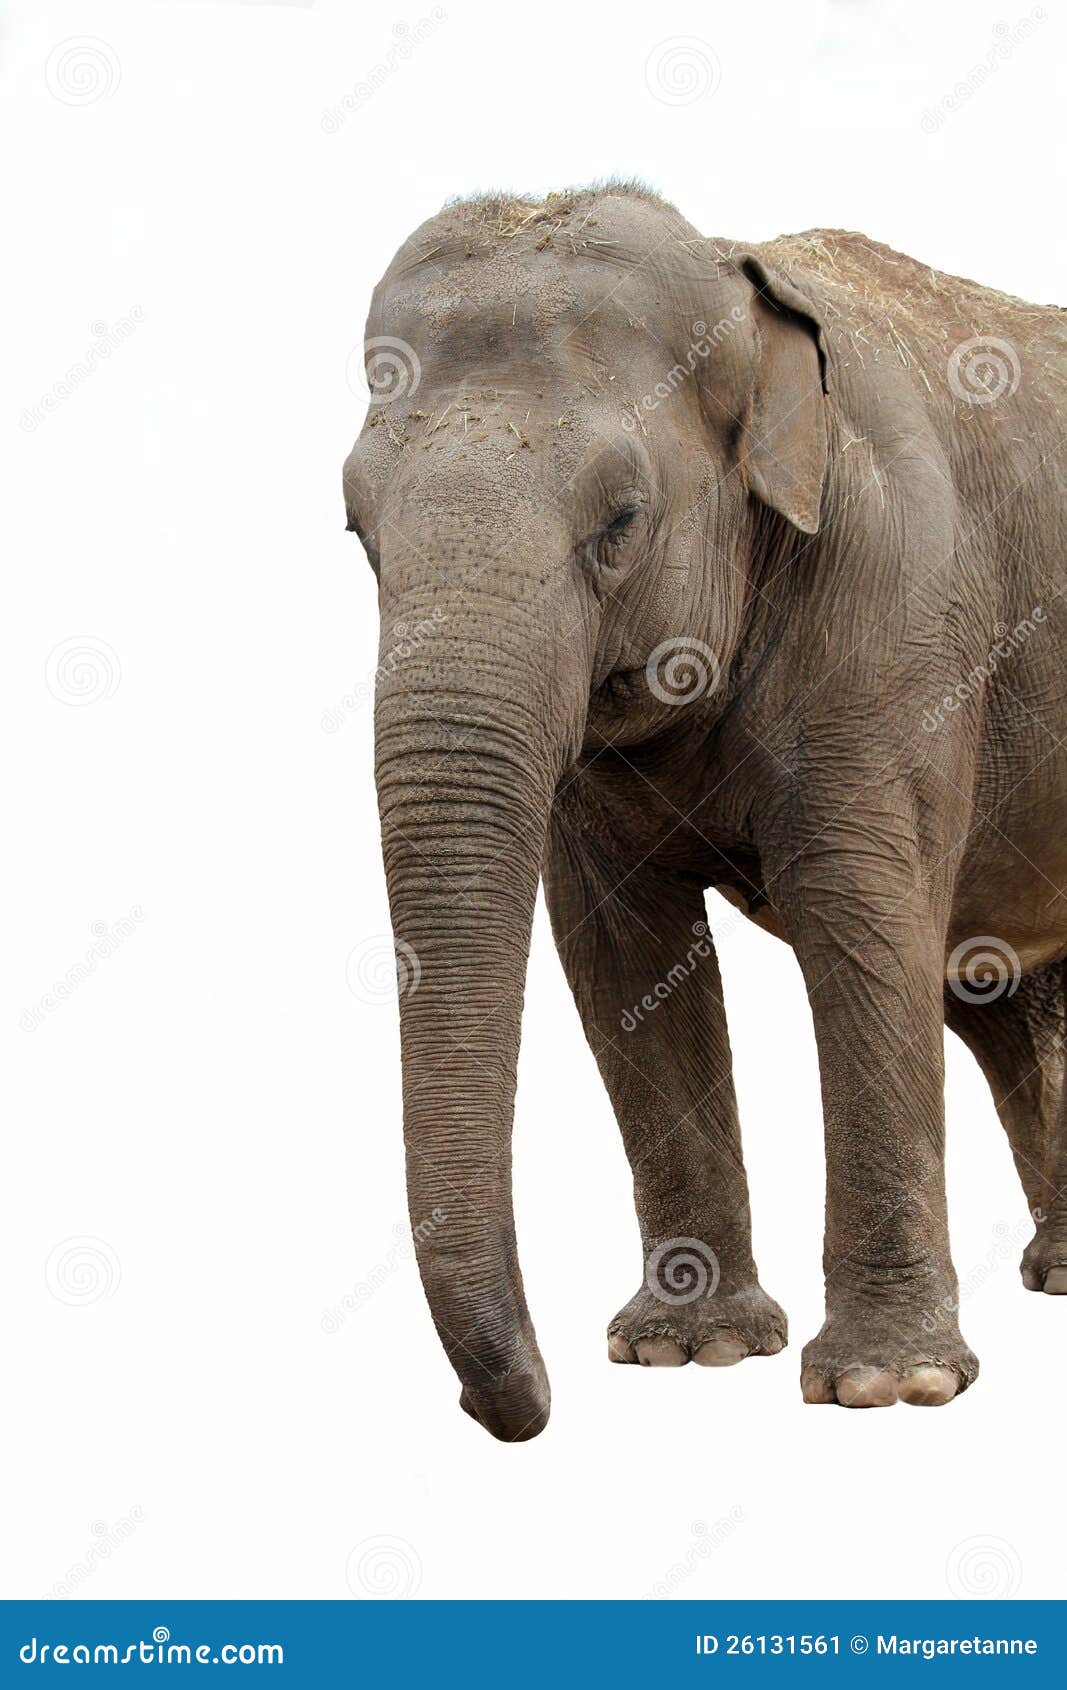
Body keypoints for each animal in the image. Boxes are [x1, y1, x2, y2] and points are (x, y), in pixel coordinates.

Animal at [342, 184, 1066, 1440]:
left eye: (619, 521)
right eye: (355, 529)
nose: (523, 1404)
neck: (743, 282)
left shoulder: (900, 611)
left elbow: (860, 921)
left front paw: (885, 1385)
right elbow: (618, 952)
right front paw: (686, 1349)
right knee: (996, 994)